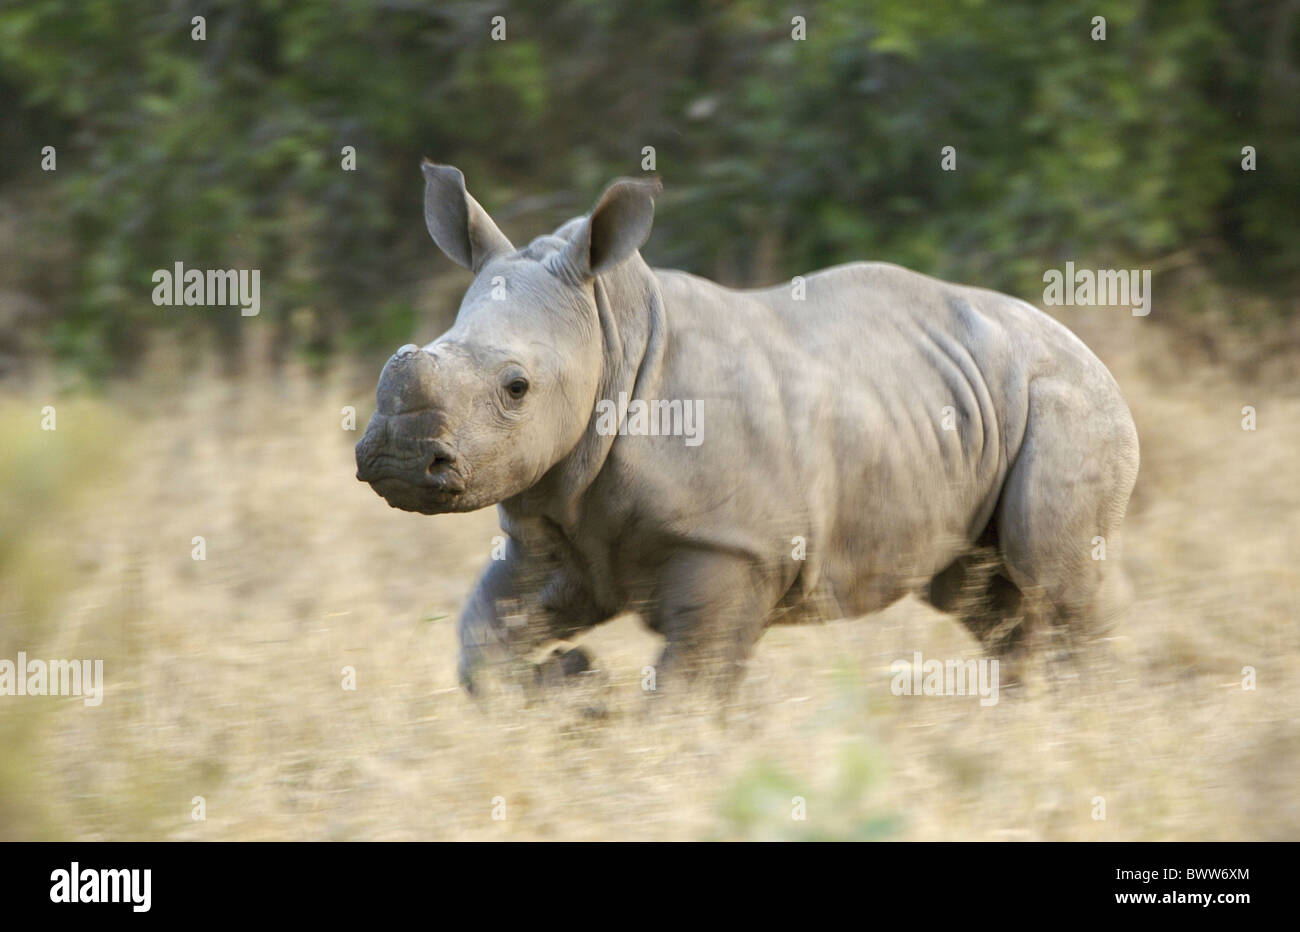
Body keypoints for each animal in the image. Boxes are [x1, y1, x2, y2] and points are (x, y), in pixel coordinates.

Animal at [355, 162, 1140, 695]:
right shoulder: (556, 519)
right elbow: (483, 645)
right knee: (986, 596)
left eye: (516, 388)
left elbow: (687, 692)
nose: (396, 459)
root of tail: (1090, 354)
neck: (613, 339)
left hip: (1071, 403)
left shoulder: (734, 547)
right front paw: (576, 684)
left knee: (1051, 573)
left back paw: (1084, 727)